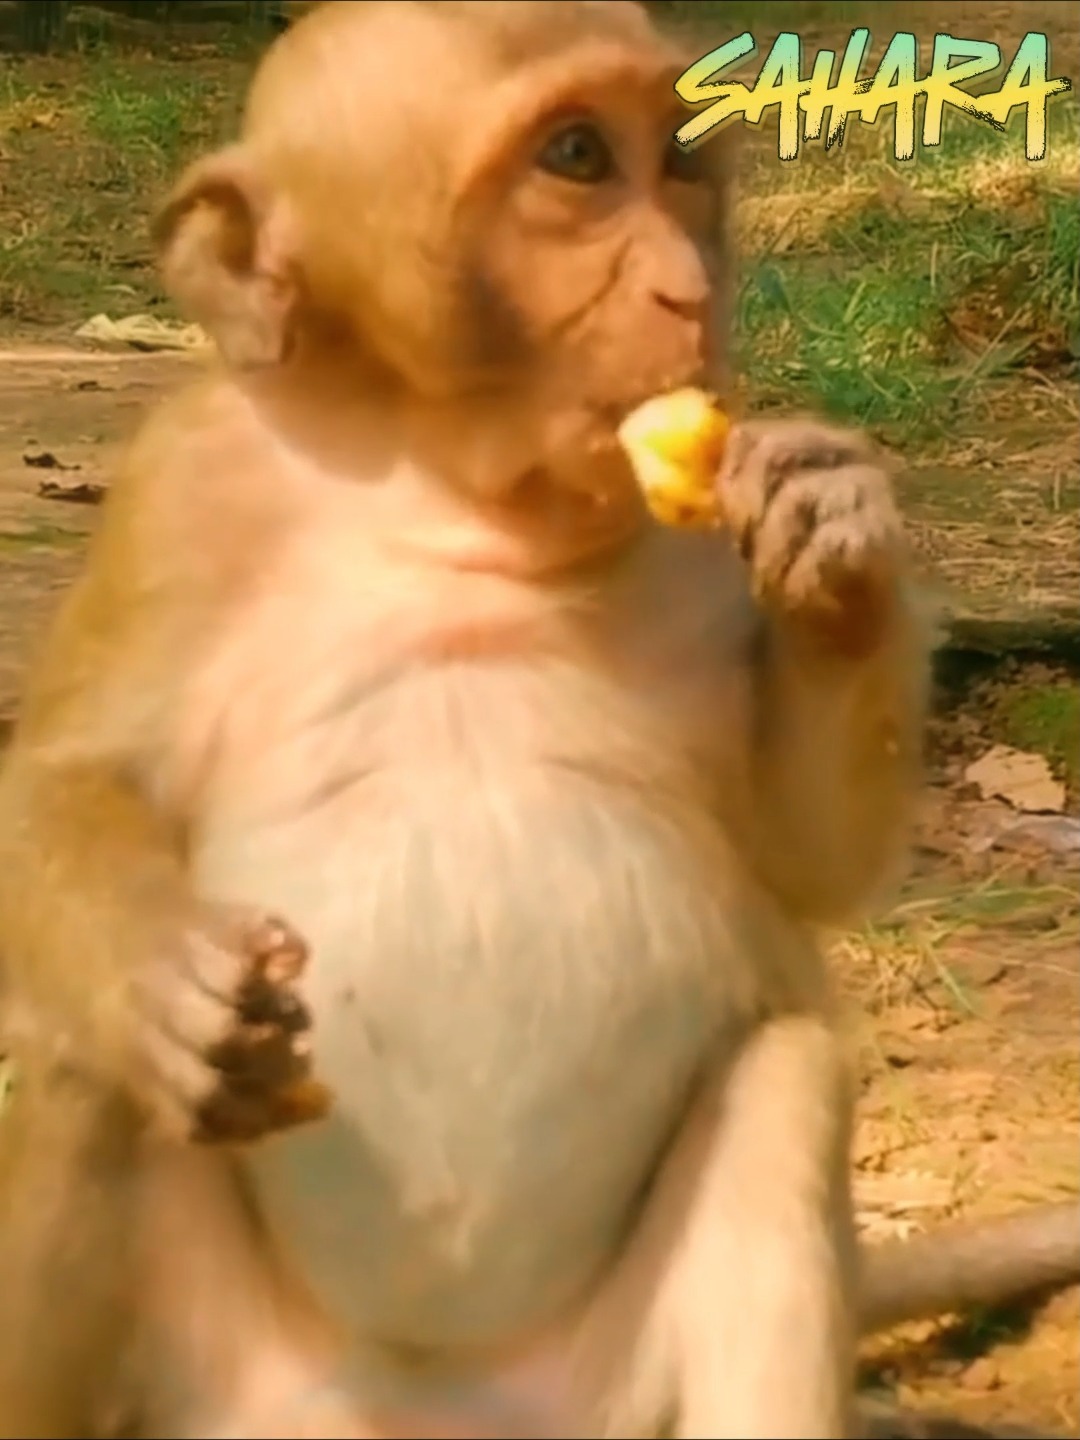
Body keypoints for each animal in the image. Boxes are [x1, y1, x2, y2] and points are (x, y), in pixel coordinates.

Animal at [0, 3, 1077, 1437]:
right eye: (577, 159)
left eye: (679, 161)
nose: (688, 291)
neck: (457, 488)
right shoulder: (185, 487)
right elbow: (66, 781)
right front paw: (164, 977)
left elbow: (809, 858)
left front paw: (836, 539)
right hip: (232, 1391)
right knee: (86, 1079)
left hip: (603, 1388)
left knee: (787, 1079)